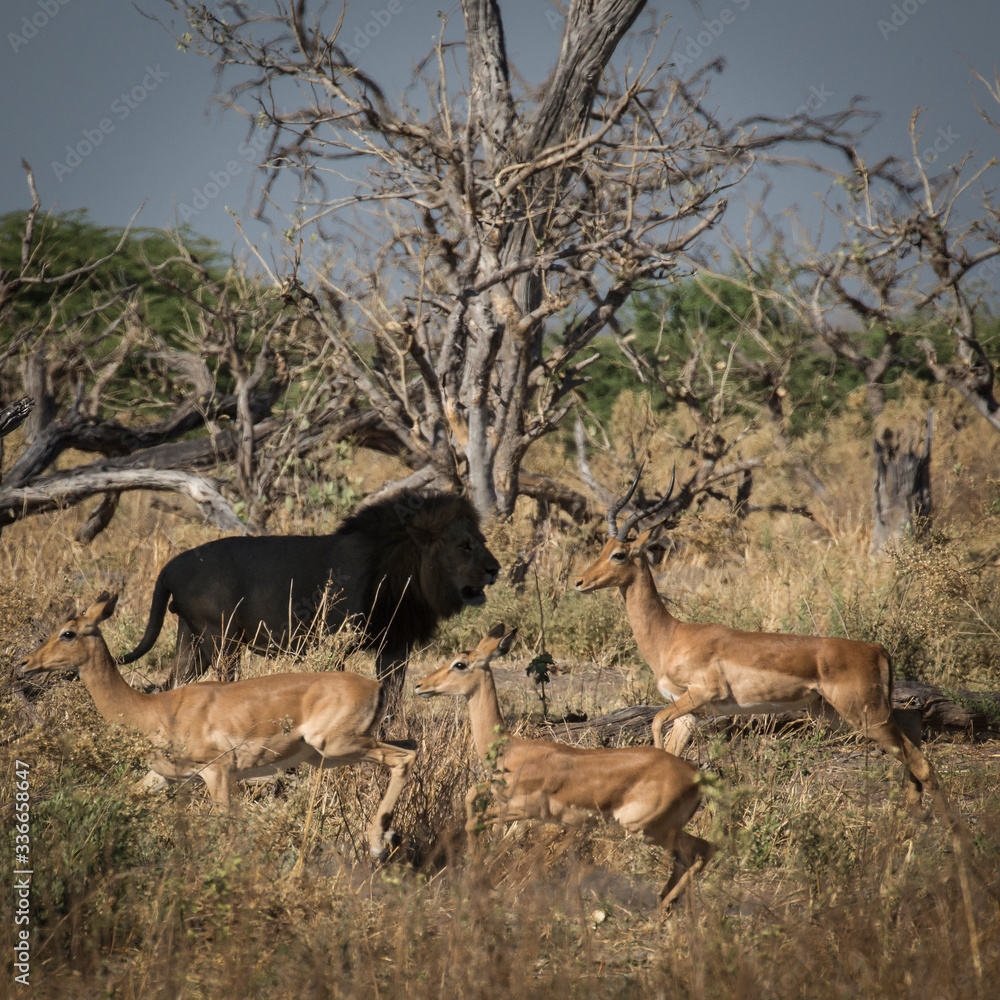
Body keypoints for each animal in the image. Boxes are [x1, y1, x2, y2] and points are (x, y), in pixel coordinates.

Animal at [20, 592, 416, 860]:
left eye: (68, 632)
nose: (26, 663)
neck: (155, 710)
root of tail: (375, 687)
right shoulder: (162, 776)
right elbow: (121, 798)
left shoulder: (219, 771)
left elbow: (228, 828)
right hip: (336, 754)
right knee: (410, 747)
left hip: (338, 746)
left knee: (405, 759)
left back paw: (379, 844)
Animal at [119, 492, 500, 690]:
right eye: (465, 546)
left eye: (482, 541)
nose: (495, 569)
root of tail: (171, 566)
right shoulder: (333, 641)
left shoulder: (395, 646)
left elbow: (392, 698)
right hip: (221, 638)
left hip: (192, 639)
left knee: (176, 683)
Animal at [414, 624, 715, 909]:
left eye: (460, 664)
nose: (419, 685)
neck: (511, 750)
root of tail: (696, 777)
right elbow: (471, 800)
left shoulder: (526, 809)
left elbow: (474, 821)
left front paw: (482, 885)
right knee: (692, 856)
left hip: (649, 829)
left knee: (702, 850)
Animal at [574, 471, 956, 827]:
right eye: (602, 548)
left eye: (619, 554)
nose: (579, 582)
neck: (671, 636)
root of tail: (877, 649)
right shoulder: (690, 713)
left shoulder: (701, 694)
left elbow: (654, 725)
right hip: (851, 713)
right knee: (912, 728)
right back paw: (918, 813)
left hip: (863, 714)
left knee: (921, 762)